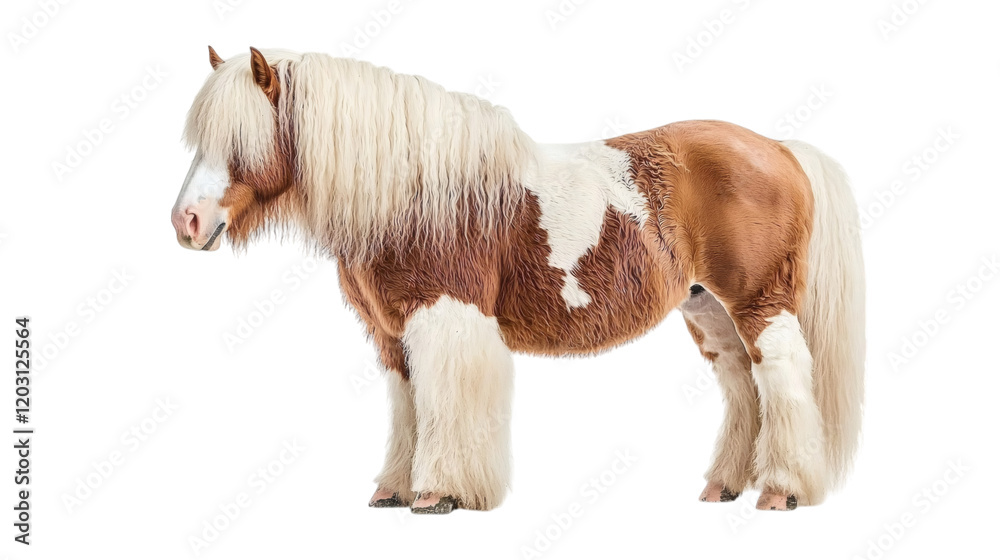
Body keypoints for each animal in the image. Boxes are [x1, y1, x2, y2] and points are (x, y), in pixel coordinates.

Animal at [171, 47, 865, 514]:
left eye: (241, 137)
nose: (187, 221)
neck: (413, 193)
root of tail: (779, 147)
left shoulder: (448, 317)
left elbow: (447, 403)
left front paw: (441, 492)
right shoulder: (393, 335)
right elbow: (408, 406)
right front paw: (394, 489)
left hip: (759, 304)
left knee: (783, 380)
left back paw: (782, 491)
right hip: (707, 309)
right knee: (744, 385)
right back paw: (725, 485)